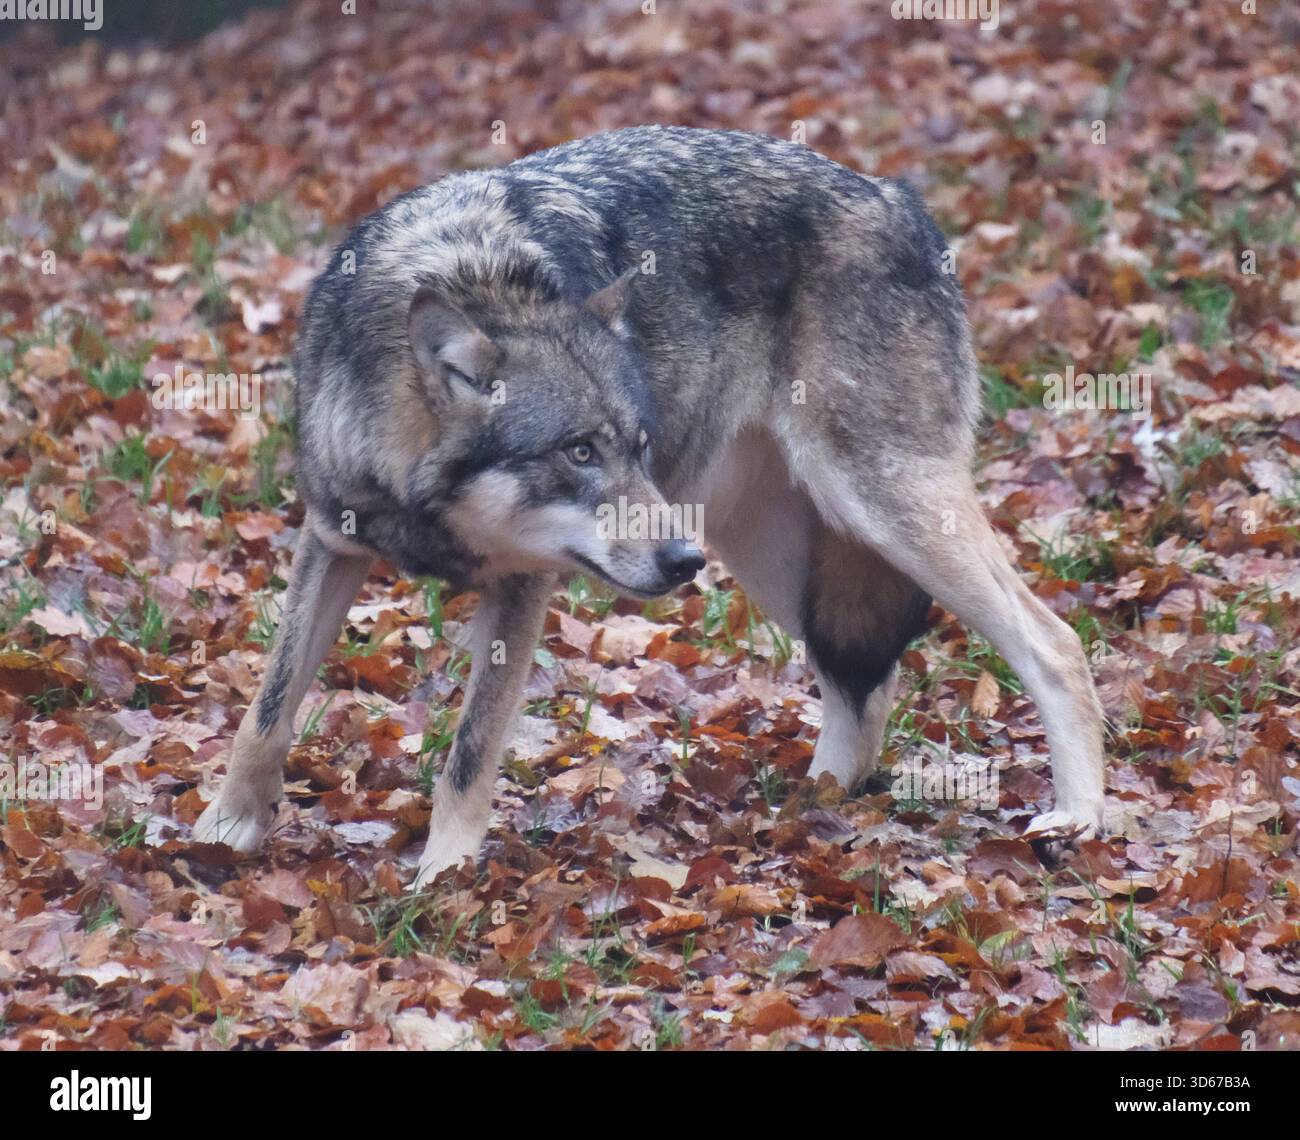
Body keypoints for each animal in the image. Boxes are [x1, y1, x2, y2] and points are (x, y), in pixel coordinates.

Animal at [194, 126, 1106, 886]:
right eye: (580, 452)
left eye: (634, 444)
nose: (681, 563)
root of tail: (901, 198)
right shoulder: (331, 540)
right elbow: (267, 711)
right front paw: (222, 835)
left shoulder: (522, 583)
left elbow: (471, 751)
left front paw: (441, 880)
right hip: (769, 551)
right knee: (864, 686)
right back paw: (810, 809)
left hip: (882, 507)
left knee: (1053, 644)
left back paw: (1079, 818)